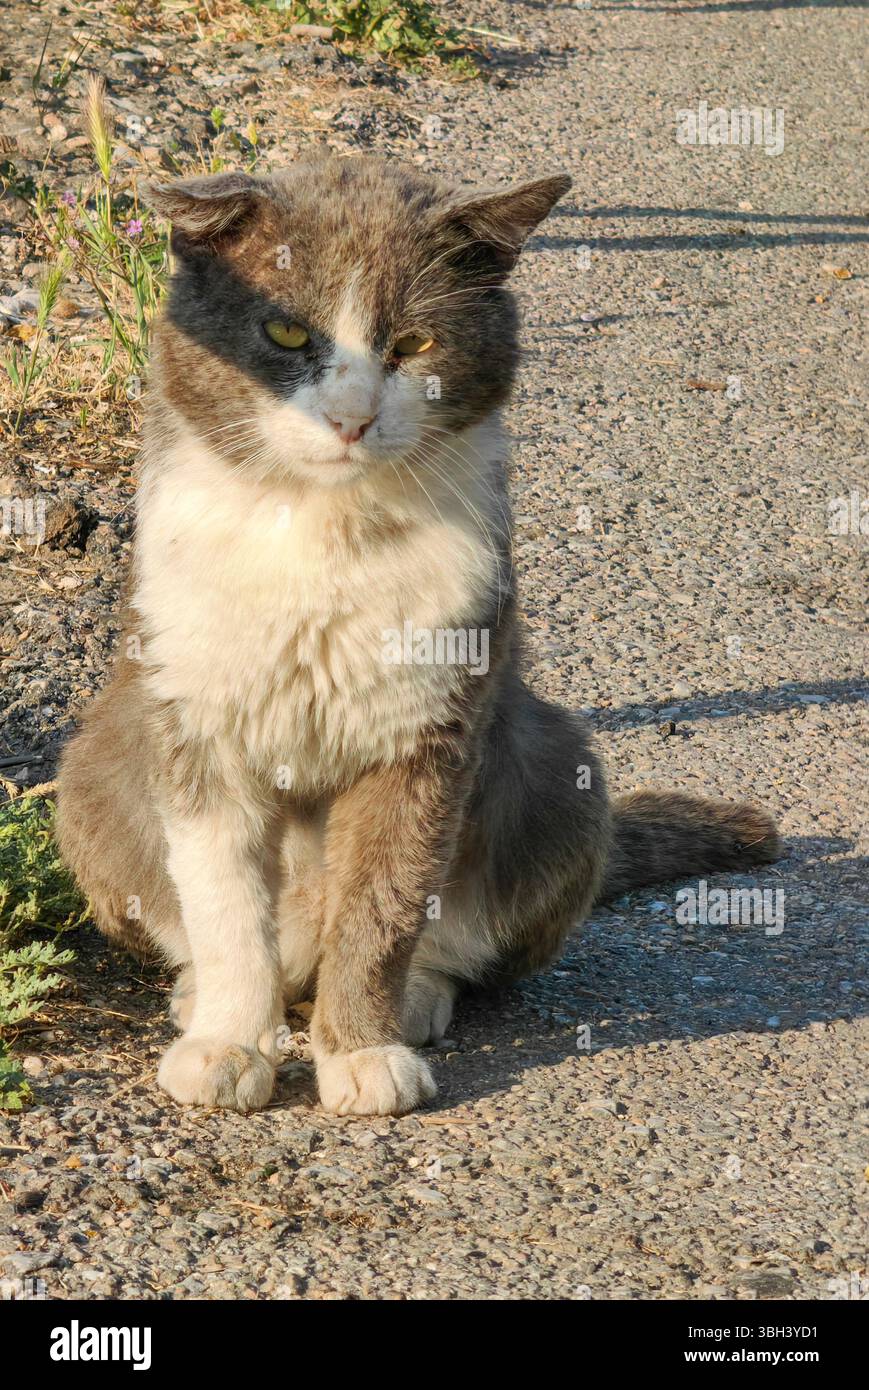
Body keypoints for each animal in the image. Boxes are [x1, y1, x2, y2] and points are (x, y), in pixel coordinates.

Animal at [56, 155, 779, 1116]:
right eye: (285, 330)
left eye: (413, 346)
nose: (350, 417)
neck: (321, 535)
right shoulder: (195, 719)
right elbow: (222, 901)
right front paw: (227, 1042)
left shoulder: (427, 731)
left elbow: (386, 904)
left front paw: (363, 1052)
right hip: (95, 766)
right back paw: (203, 997)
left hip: (557, 767)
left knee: (454, 933)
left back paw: (410, 1003)